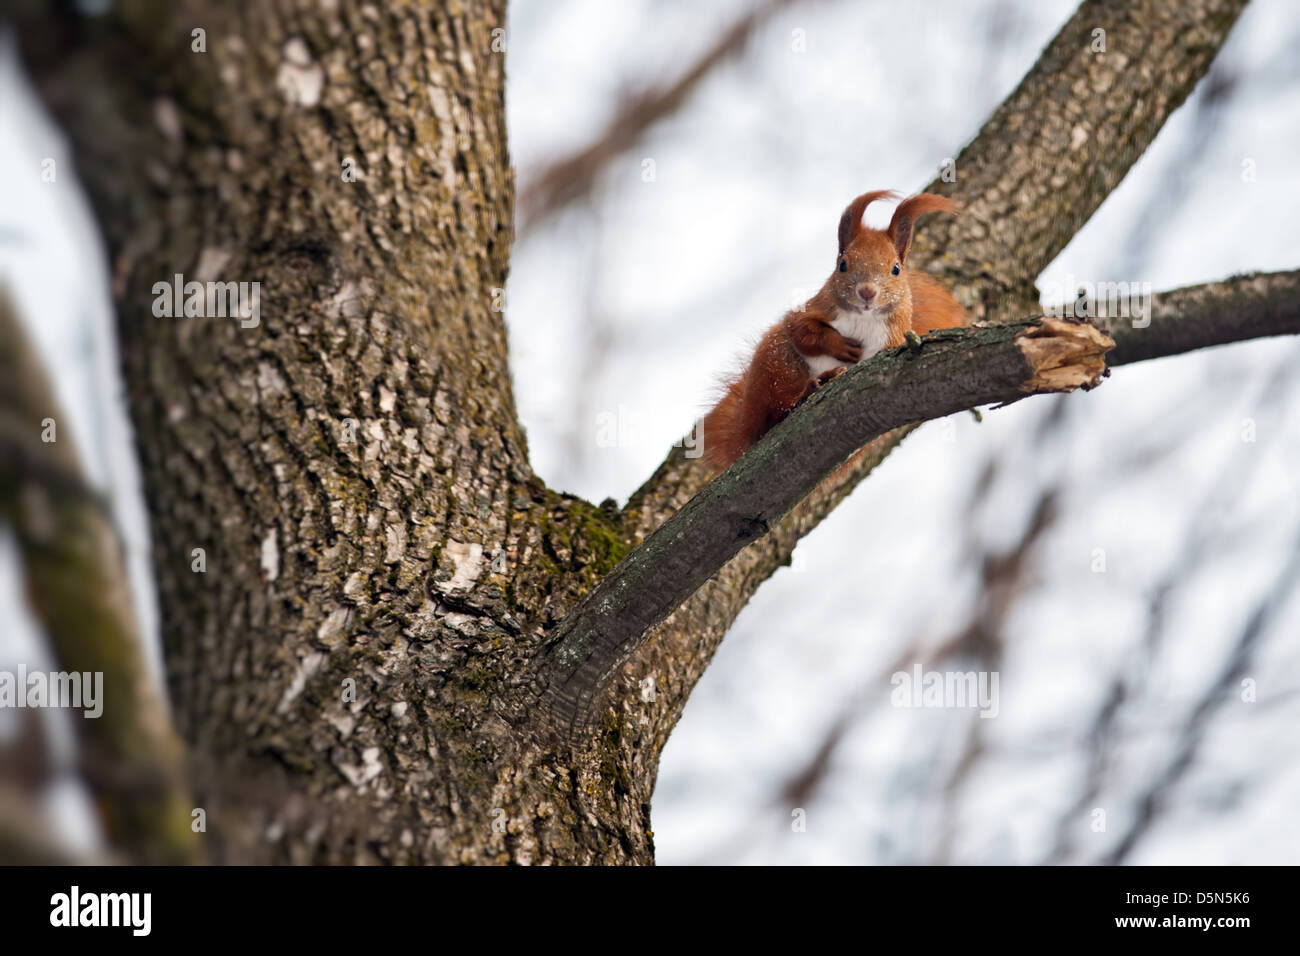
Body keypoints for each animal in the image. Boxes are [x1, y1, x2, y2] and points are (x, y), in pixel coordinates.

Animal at [699, 189, 967, 471]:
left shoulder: (894, 337)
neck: (863, 317)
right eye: (843, 264)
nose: (867, 292)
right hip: (778, 365)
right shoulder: (814, 309)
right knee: (774, 412)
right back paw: (806, 392)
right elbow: (801, 330)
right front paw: (841, 345)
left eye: (896, 268)